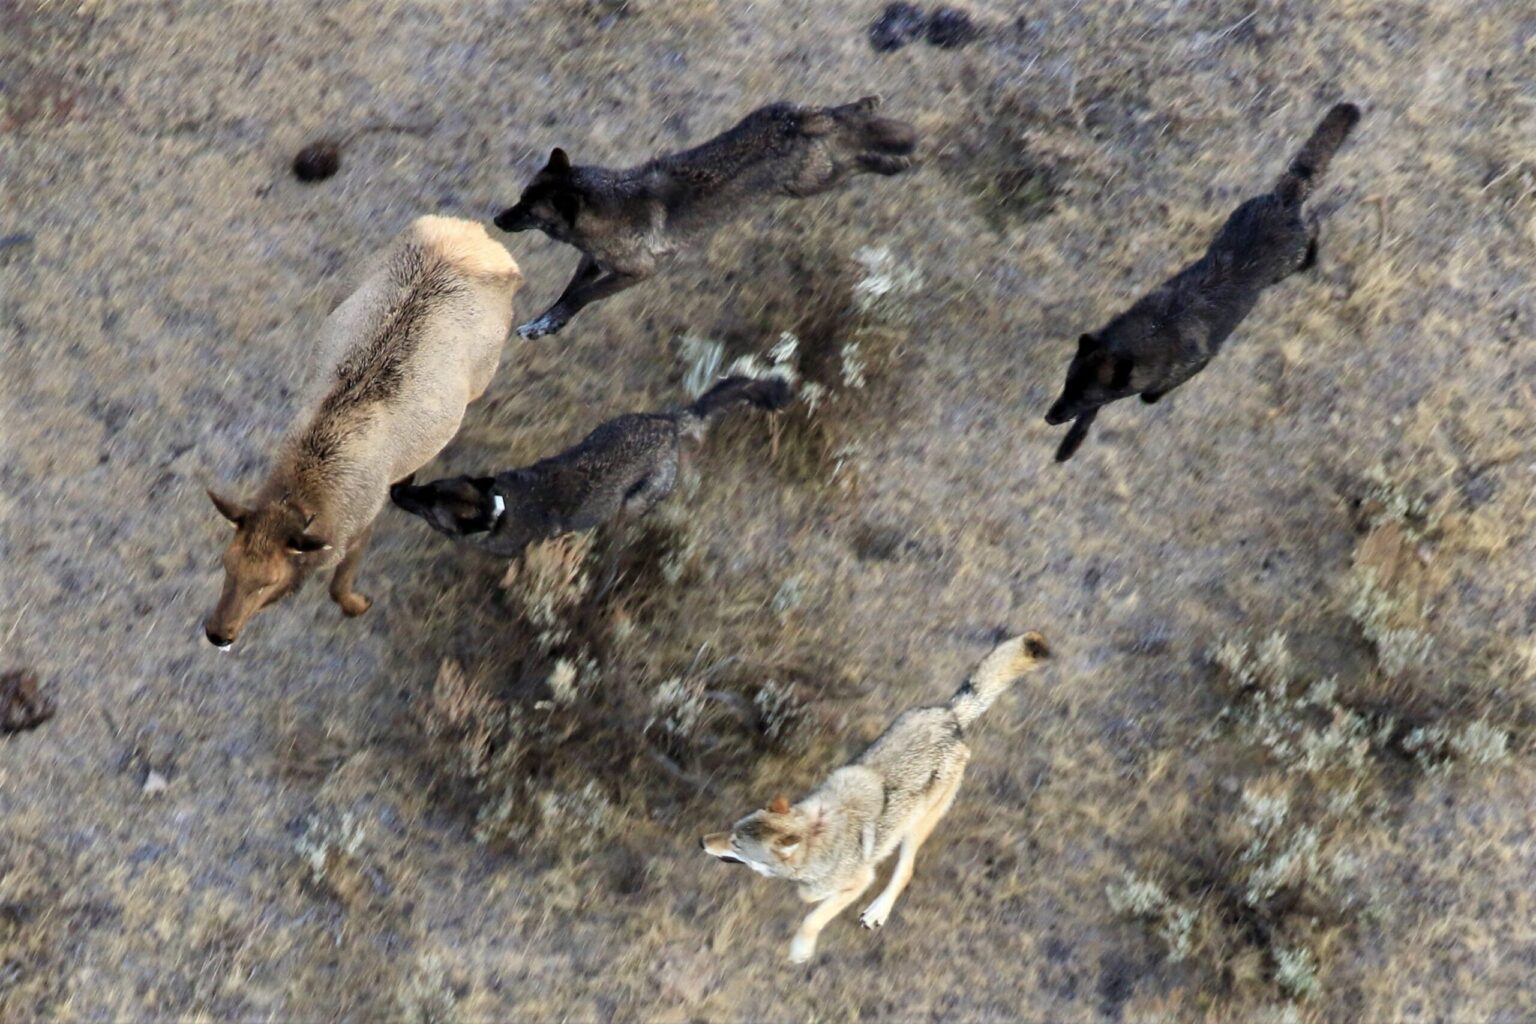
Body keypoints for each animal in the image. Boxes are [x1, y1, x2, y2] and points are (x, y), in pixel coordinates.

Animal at [203, 216, 522, 647]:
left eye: (267, 581)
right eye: (226, 564)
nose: (217, 634)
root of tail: (472, 230)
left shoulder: (362, 523)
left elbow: (339, 585)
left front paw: (356, 604)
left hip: (485, 370)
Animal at [389, 375, 791, 556]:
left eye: (430, 508)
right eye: (429, 488)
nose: (394, 489)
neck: (499, 509)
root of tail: (669, 424)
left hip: (634, 503)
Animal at [493, 96, 917, 339]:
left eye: (528, 209)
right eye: (522, 197)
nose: (497, 220)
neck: (609, 208)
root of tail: (798, 124)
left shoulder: (639, 273)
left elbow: (583, 297)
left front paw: (548, 325)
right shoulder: (592, 262)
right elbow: (568, 294)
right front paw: (545, 323)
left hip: (809, 185)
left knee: (856, 158)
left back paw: (893, 162)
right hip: (802, 142)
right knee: (841, 116)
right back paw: (867, 105)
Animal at [702, 632, 1052, 963]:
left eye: (736, 844)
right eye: (731, 831)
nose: (701, 842)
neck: (817, 838)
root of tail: (950, 715)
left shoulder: (861, 880)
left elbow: (814, 915)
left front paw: (801, 949)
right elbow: (811, 898)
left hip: (915, 827)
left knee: (905, 872)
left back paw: (877, 912)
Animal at [1045, 103, 1361, 461]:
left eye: (1084, 395)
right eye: (1066, 383)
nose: (1050, 417)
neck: (1157, 330)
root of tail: (1283, 199)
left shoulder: (1198, 362)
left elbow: (1146, 396)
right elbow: (1091, 417)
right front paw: (1069, 445)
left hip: (1289, 266)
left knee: (1315, 229)